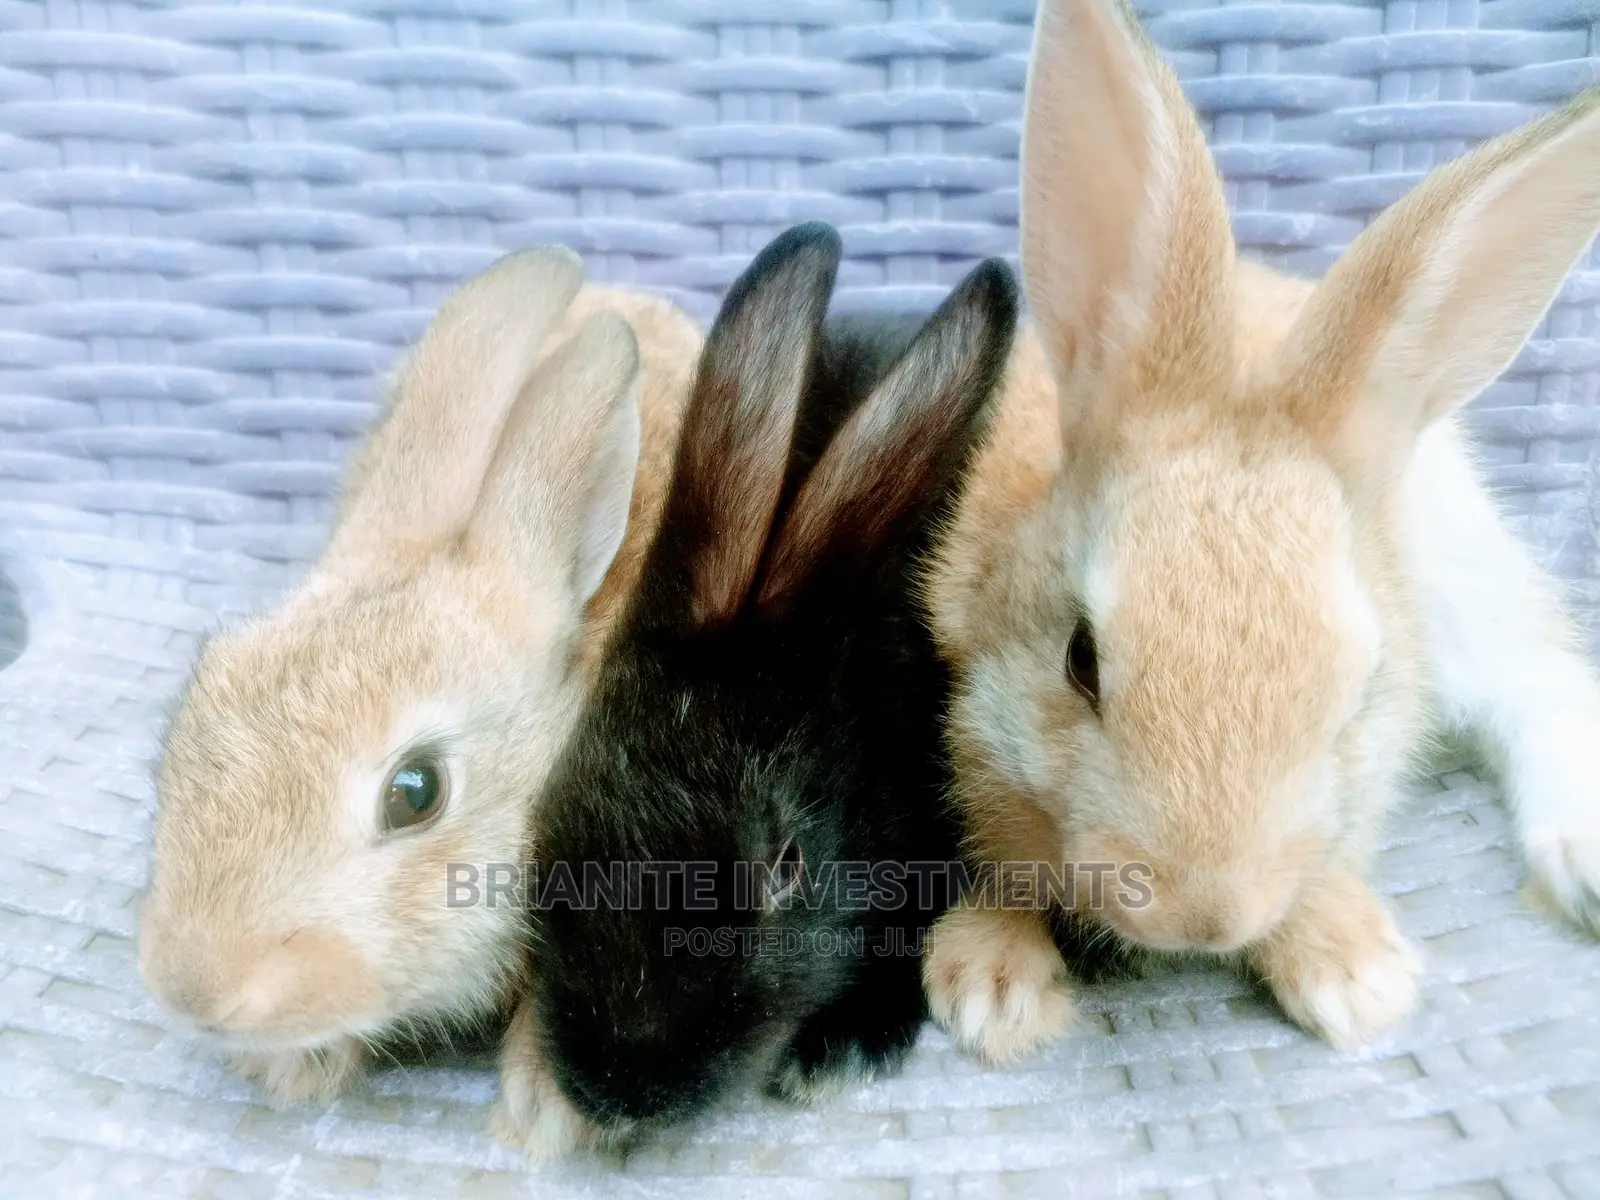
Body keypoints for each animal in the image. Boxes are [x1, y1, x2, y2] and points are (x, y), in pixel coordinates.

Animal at [920, 0, 1600, 1064]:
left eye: (1360, 688)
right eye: (1080, 660)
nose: (1202, 916)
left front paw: (1356, 975)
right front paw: (995, 990)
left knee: (1539, 678)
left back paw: (1581, 862)